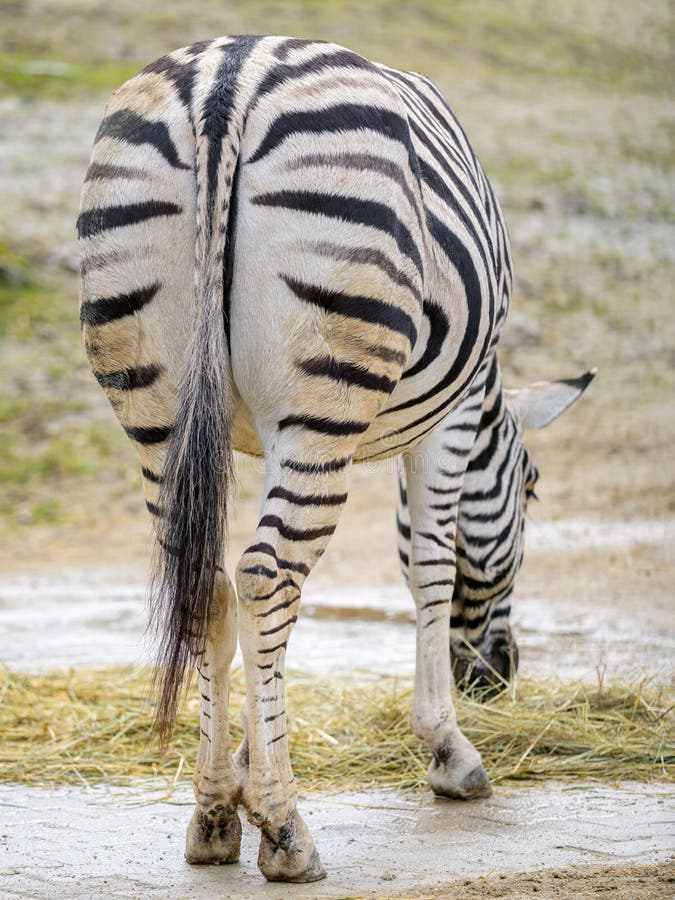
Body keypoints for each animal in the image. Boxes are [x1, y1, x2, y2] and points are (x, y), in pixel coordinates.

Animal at [77, 35, 594, 882]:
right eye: (532, 490)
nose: (498, 676)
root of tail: (224, 83)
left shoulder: (243, 436)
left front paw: (249, 762)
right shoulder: (450, 416)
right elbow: (429, 566)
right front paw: (448, 749)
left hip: (156, 405)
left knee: (213, 584)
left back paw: (214, 813)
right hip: (327, 385)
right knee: (263, 577)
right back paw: (287, 831)